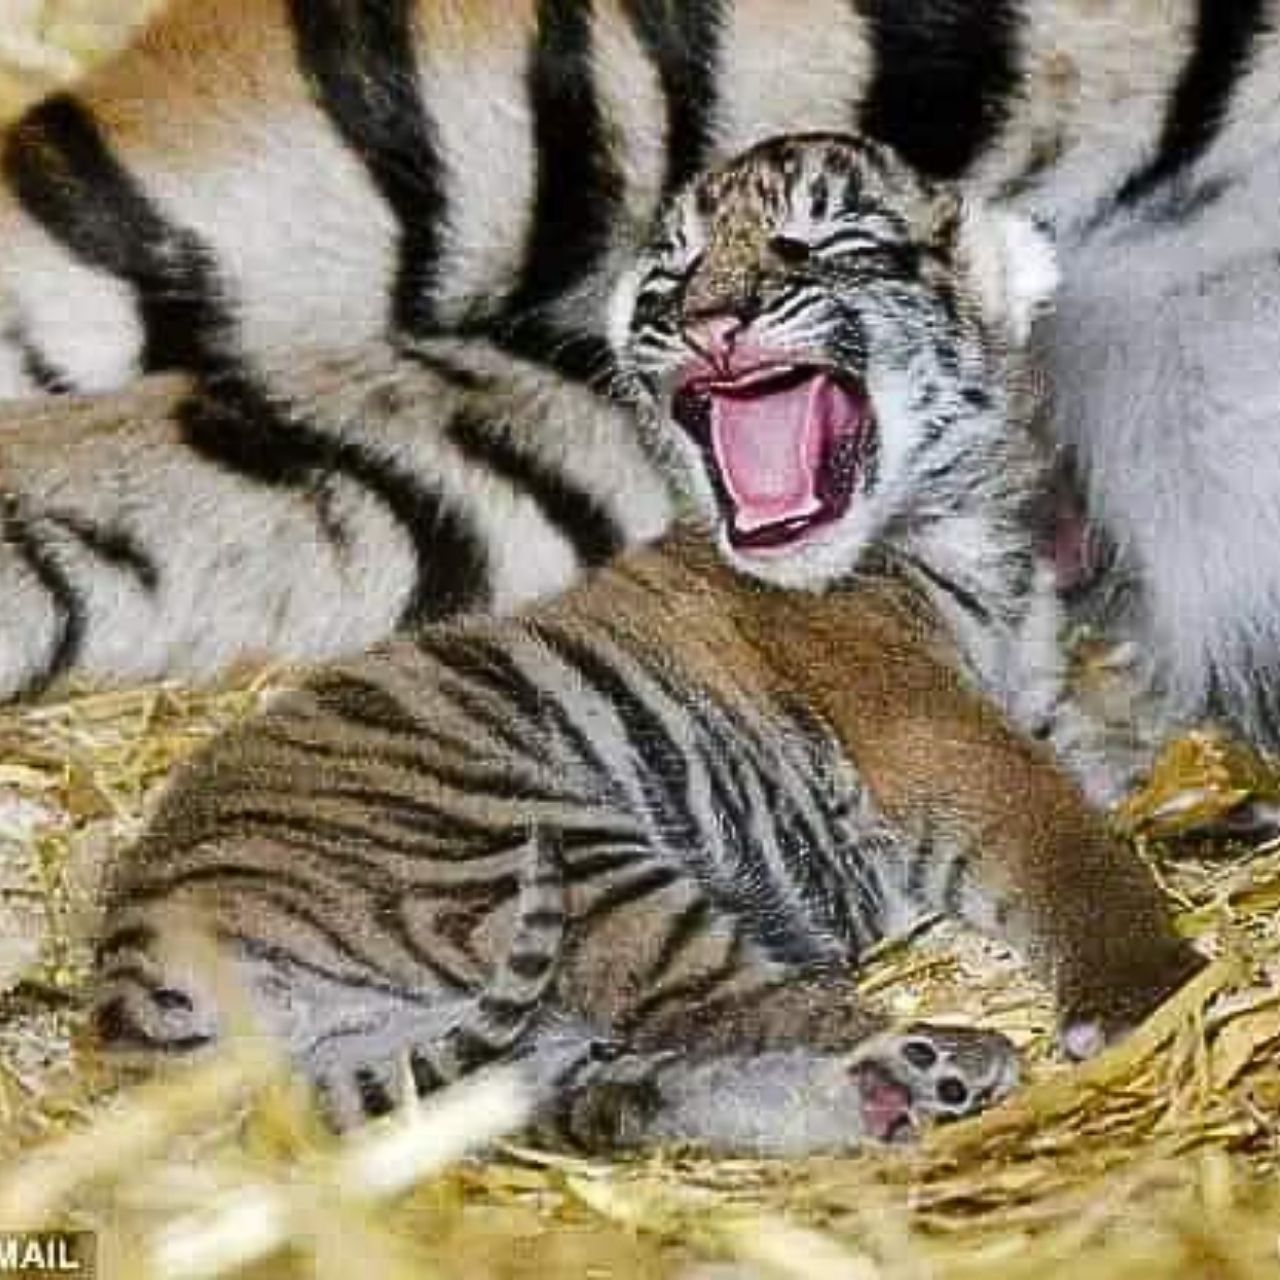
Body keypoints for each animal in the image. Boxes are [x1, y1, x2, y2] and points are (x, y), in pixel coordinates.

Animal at [92, 135, 1204, 1155]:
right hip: (531, 853)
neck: (970, 528)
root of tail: (124, 977)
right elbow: (1061, 836)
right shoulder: (934, 733)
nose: (704, 322)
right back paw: (930, 1063)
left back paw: (899, 1088)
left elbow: (1106, 751)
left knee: (623, 1089)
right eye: (670, 280)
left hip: (490, 1042)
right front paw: (1149, 989)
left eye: (821, 244)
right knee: (734, 1004)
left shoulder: (1033, 699)